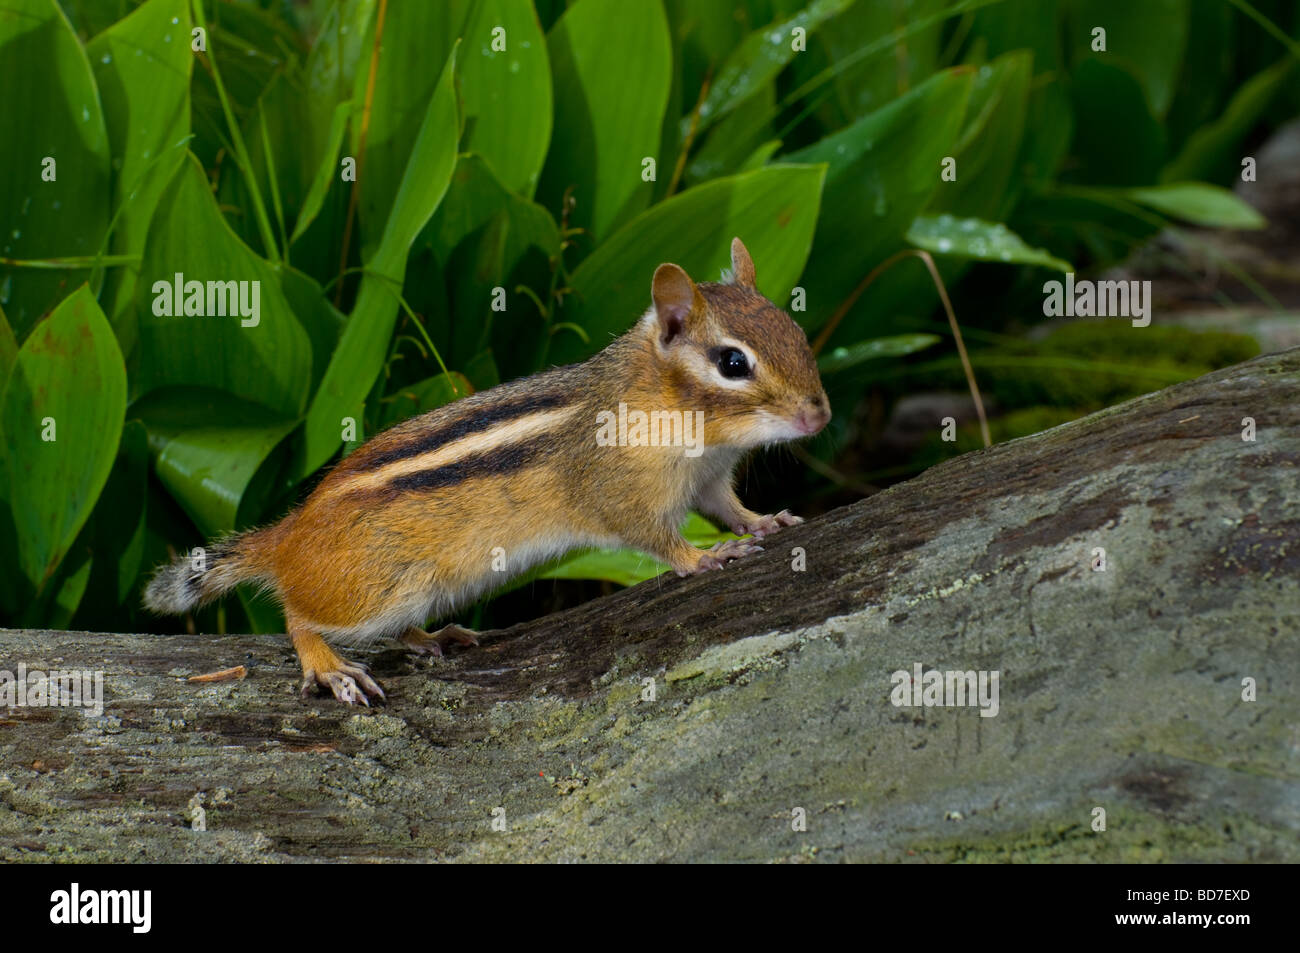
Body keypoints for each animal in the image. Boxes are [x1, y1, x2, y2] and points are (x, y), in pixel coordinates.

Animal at [145, 238, 831, 705]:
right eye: (733, 363)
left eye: (796, 329)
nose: (819, 414)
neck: (685, 421)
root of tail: (288, 535)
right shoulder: (623, 492)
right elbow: (657, 539)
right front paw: (706, 557)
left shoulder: (709, 479)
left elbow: (728, 508)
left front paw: (765, 521)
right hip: (380, 587)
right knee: (296, 613)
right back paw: (327, 664)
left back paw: (430, 639)